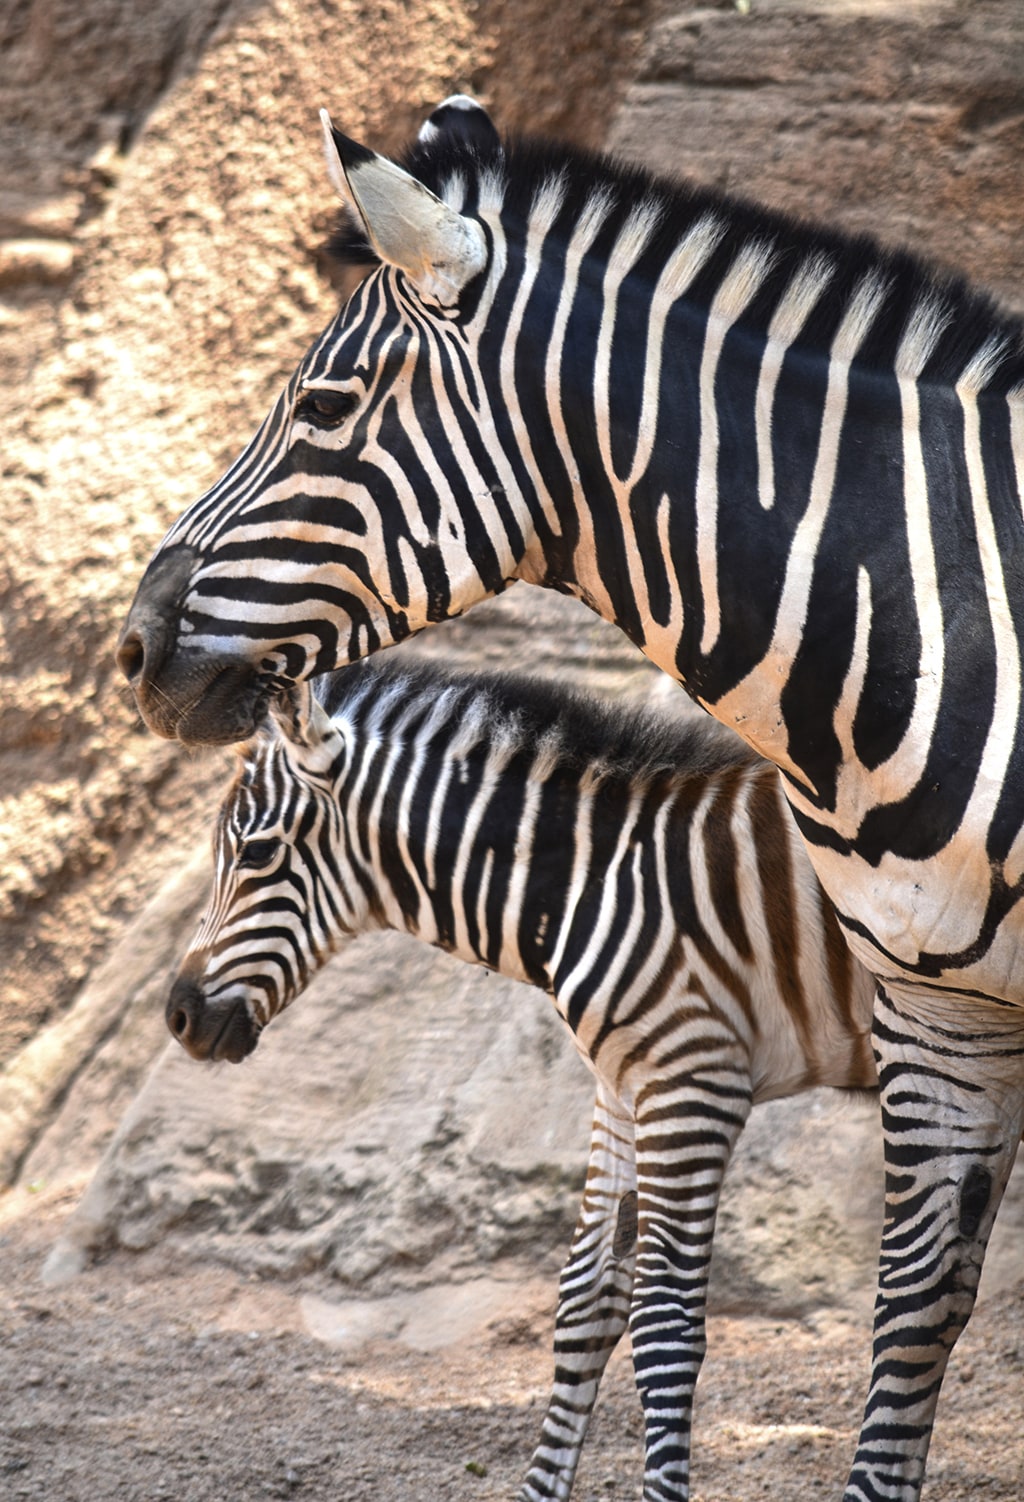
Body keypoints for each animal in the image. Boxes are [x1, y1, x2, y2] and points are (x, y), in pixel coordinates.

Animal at [168, 656, 878, 1501]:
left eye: (256, 854)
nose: (178, 1015)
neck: (598, 880)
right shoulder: (621, 1084)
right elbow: (583, 1300)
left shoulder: (692, 1078)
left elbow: (665, 1323)